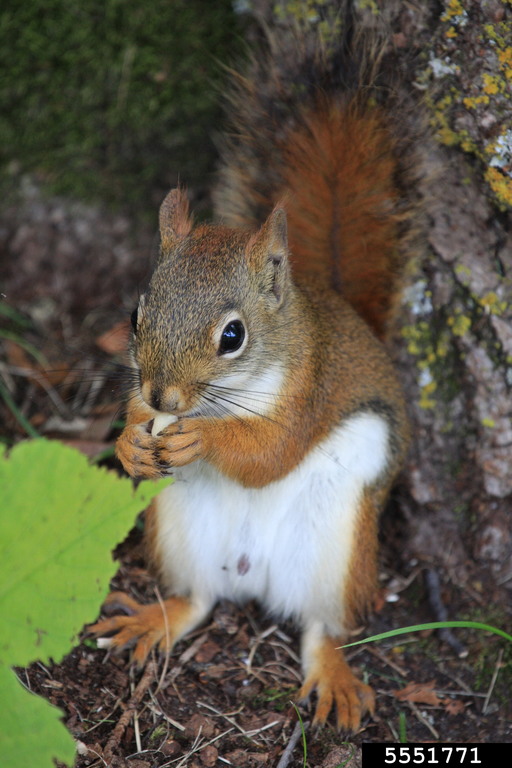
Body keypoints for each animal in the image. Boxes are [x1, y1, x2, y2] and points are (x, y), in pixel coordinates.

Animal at [90, 13, 414, 732]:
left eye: (232, 336)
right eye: (136, 313)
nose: (162, 397)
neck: (223, 398)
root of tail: (251, 573)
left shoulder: (308, 390)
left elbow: (270, 454)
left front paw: (205, 440)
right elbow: (134, 427)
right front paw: (130, 443)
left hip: (337, 550)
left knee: (321, 627)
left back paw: (334, 677)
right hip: (178, 529)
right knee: (200, 600)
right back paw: (156, 619)